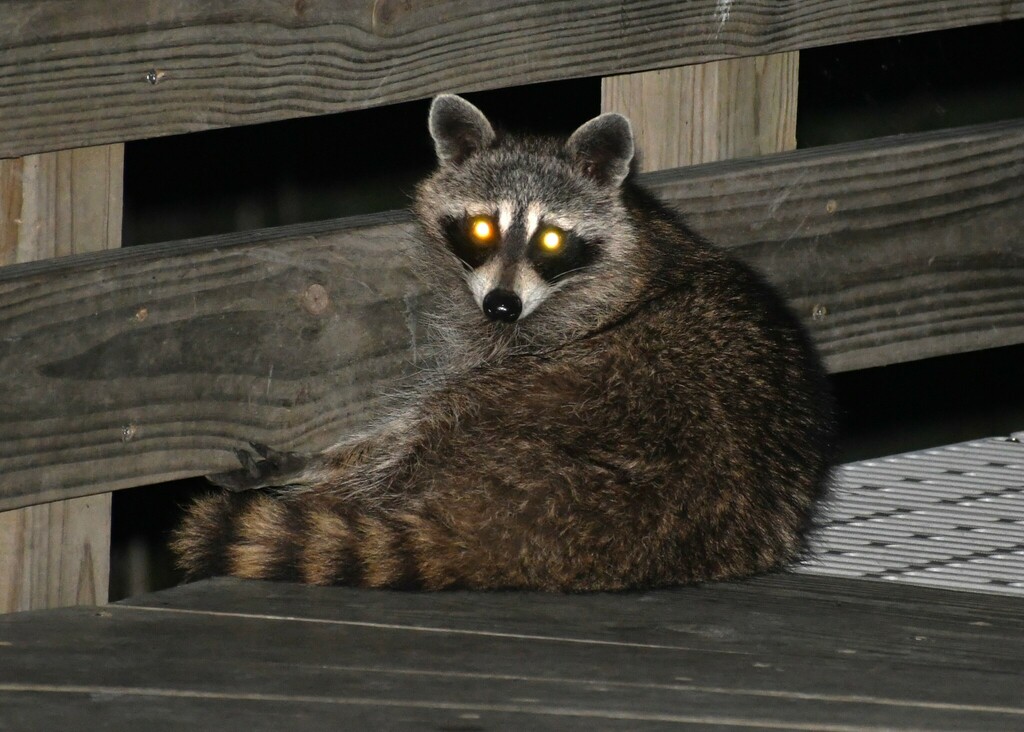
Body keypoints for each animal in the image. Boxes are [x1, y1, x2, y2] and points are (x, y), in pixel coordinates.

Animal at [172, 94, 835, 591]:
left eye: (551, 239)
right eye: (482, 227)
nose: (500, 306)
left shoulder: (544, 337)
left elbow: (403, 426)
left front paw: (328, 460)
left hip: (536, 403)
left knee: (427, 428)